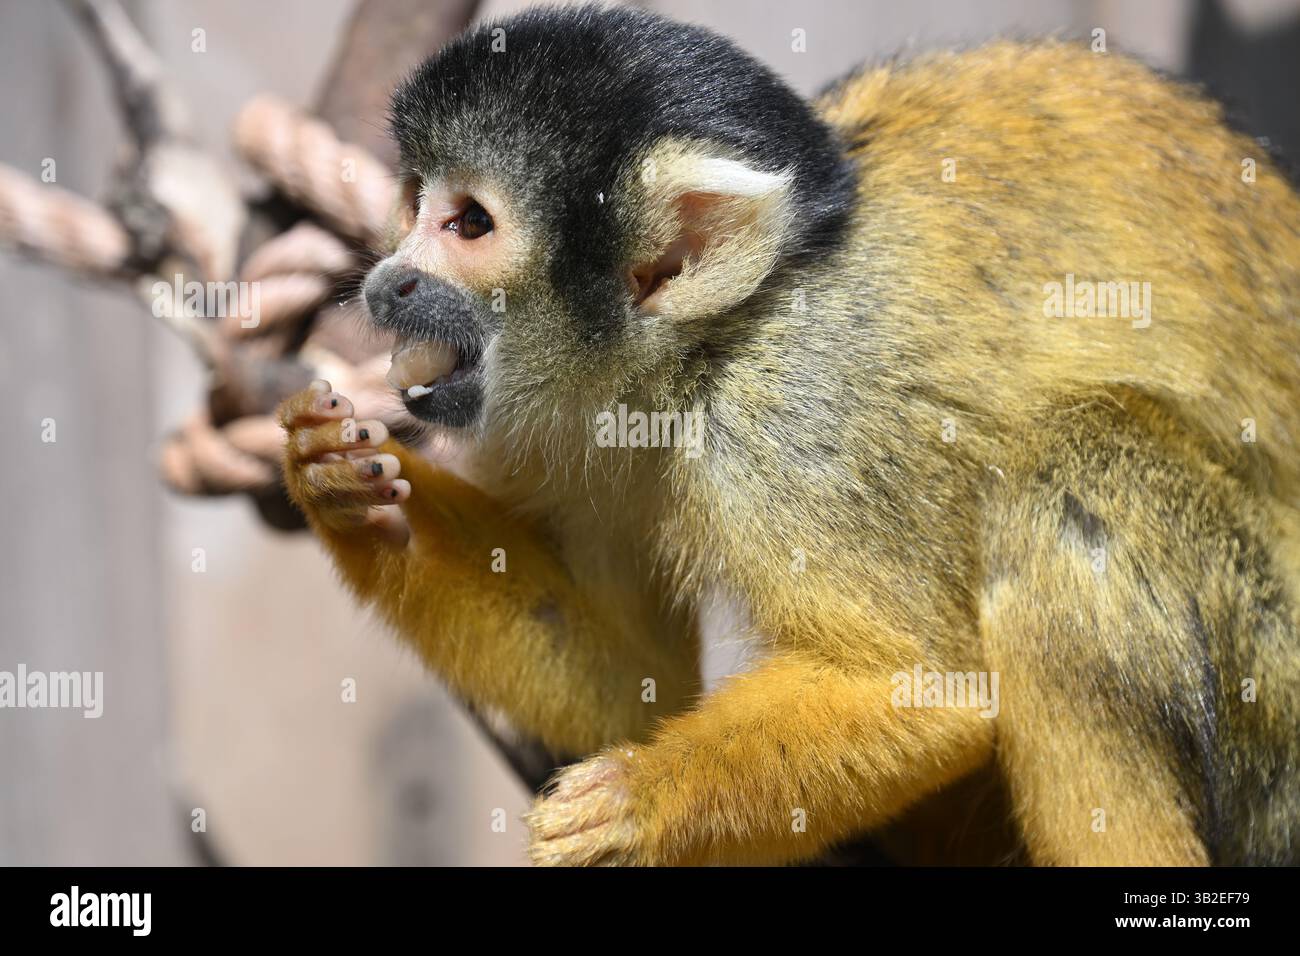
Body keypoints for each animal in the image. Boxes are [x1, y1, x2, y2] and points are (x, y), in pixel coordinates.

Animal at [277, 5, 1300, 865]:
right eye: (414, 204)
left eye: (469, 223)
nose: (391, 281)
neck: (699, 354)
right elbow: (638, 682)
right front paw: (354, 493)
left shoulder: (795, 414)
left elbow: (929, 687)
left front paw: (643, 802)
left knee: (1070, 470)